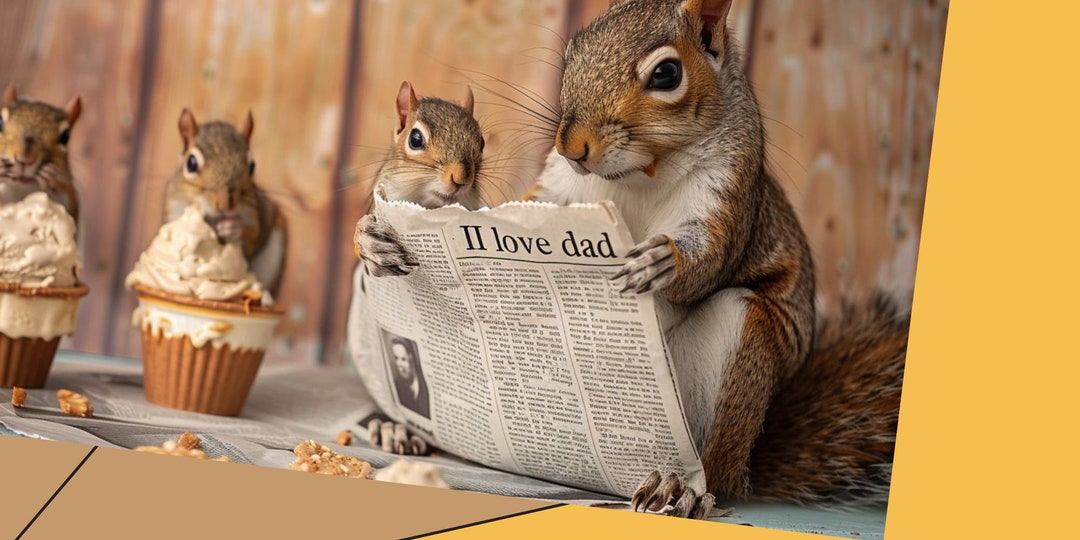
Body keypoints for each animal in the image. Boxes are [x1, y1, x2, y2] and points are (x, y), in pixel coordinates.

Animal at [163, 108, 288, 297]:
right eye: (191, 163)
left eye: (252, 166)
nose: (224, 205)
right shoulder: (175, 206)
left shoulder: (254, 213)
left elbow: (253, 240)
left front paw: (234, 227)